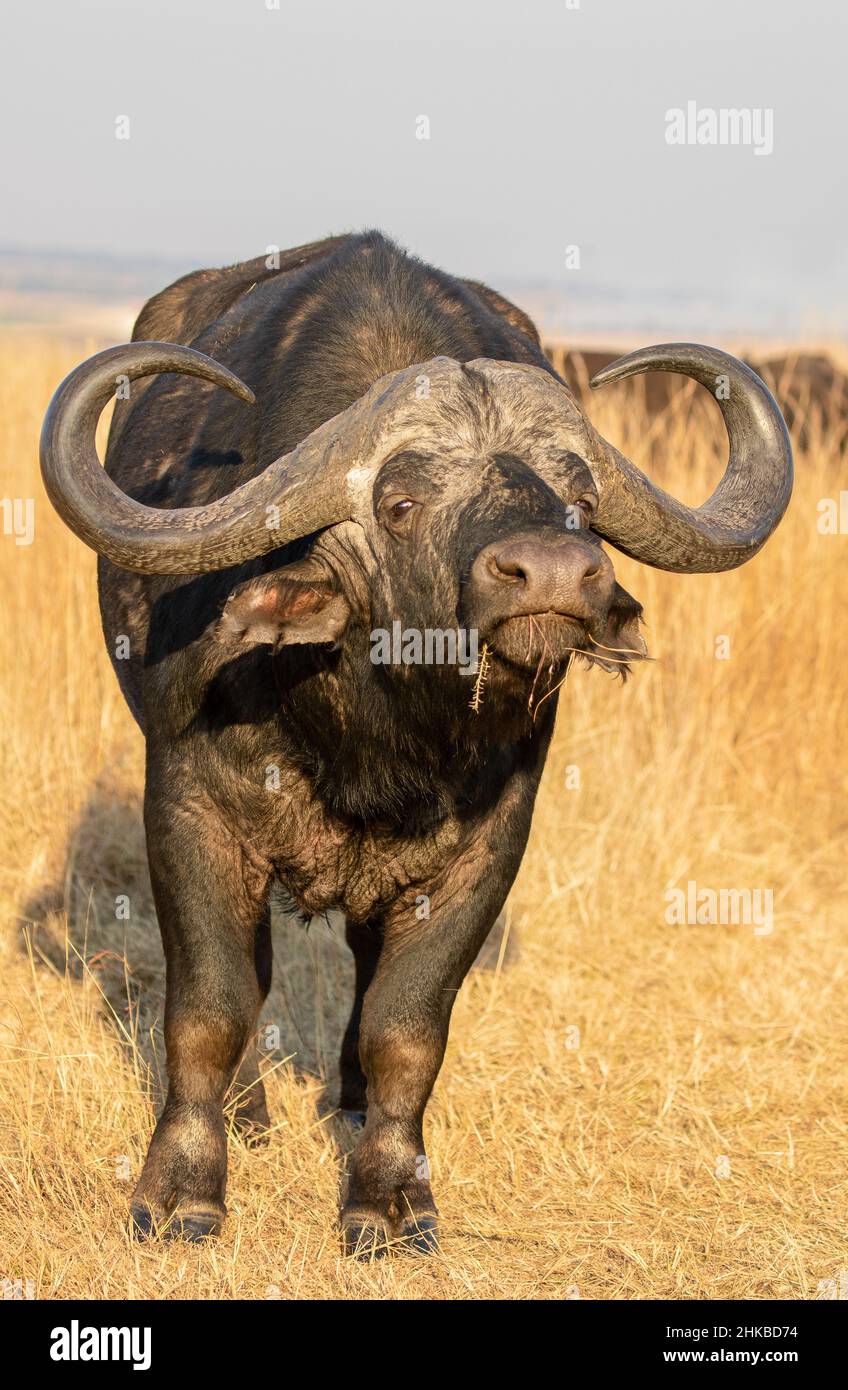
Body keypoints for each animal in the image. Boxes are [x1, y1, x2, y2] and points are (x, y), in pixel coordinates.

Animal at [40, 231, 792, 1254]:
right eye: (400, 503)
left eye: (580, 495)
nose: (554, 573)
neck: (372, 733)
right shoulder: (189, 811)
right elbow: (211, 1005)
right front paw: (184, 1191)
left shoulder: (488, 845)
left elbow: (407, 1024)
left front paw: (390, 1198)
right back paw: (248, 1110)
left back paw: (349, 1102)